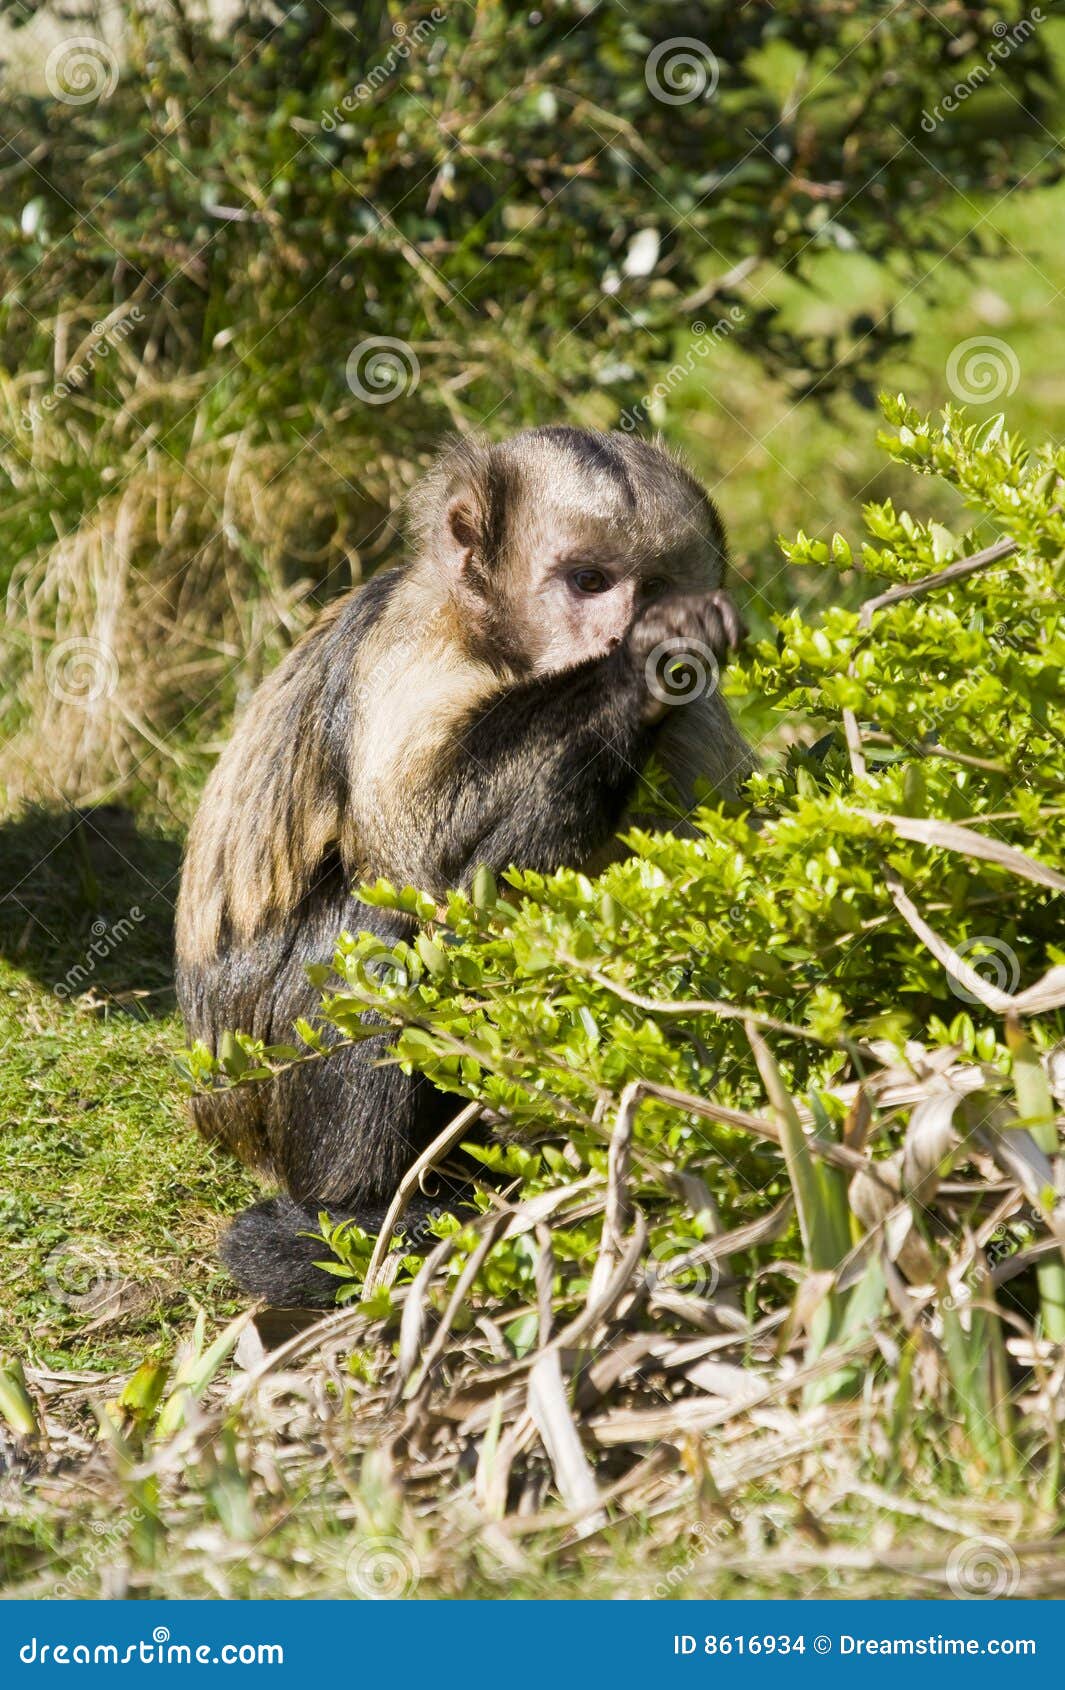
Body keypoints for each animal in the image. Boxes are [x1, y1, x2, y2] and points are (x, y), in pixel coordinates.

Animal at [175, 426, 755, 1307]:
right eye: (588, 581)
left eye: (649, 583)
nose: (617, 631)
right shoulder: (413, 634)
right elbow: (439, 859)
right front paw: (635, 669)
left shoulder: (696, 713)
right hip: (245, 1080)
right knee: (375, 924)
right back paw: (355, 1215)